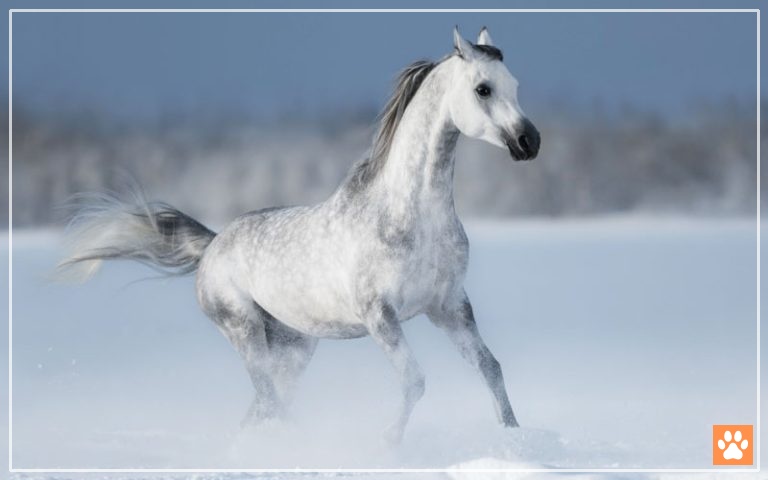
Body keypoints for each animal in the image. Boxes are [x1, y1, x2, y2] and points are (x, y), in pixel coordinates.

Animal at [58, 26, 540, 443]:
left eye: (514, 84)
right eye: (483, 88)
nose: (529, 141)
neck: (412, 217)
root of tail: (213, 245)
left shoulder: (449, 307)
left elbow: (490, 367)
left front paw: (515, 438)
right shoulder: (380, 315)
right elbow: (414, 381)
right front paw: (388, 442)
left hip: (295, 345)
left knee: (263, 407)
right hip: (245, 332)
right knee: (270, 403)